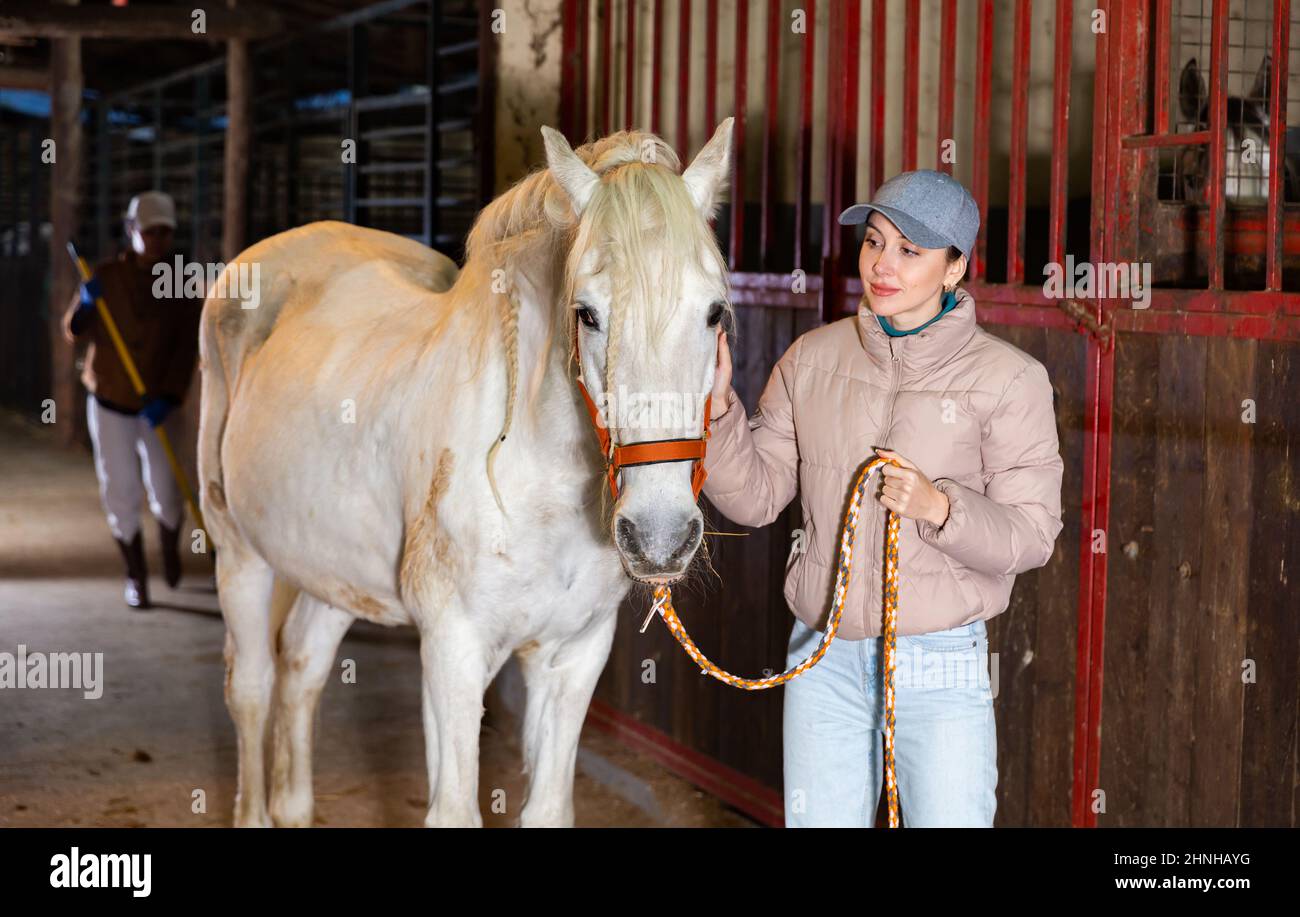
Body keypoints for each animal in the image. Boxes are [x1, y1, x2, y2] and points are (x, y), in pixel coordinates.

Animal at [197, 119, 736, 827]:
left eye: (715, 311)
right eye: (587, 312)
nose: (659, 536)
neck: (538, 485)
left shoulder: (574, 654)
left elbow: (547, 809)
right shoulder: (453, 649)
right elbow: (454, 809)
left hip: (331, 571)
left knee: (302, 669)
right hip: (240, 554)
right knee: (252, 687)